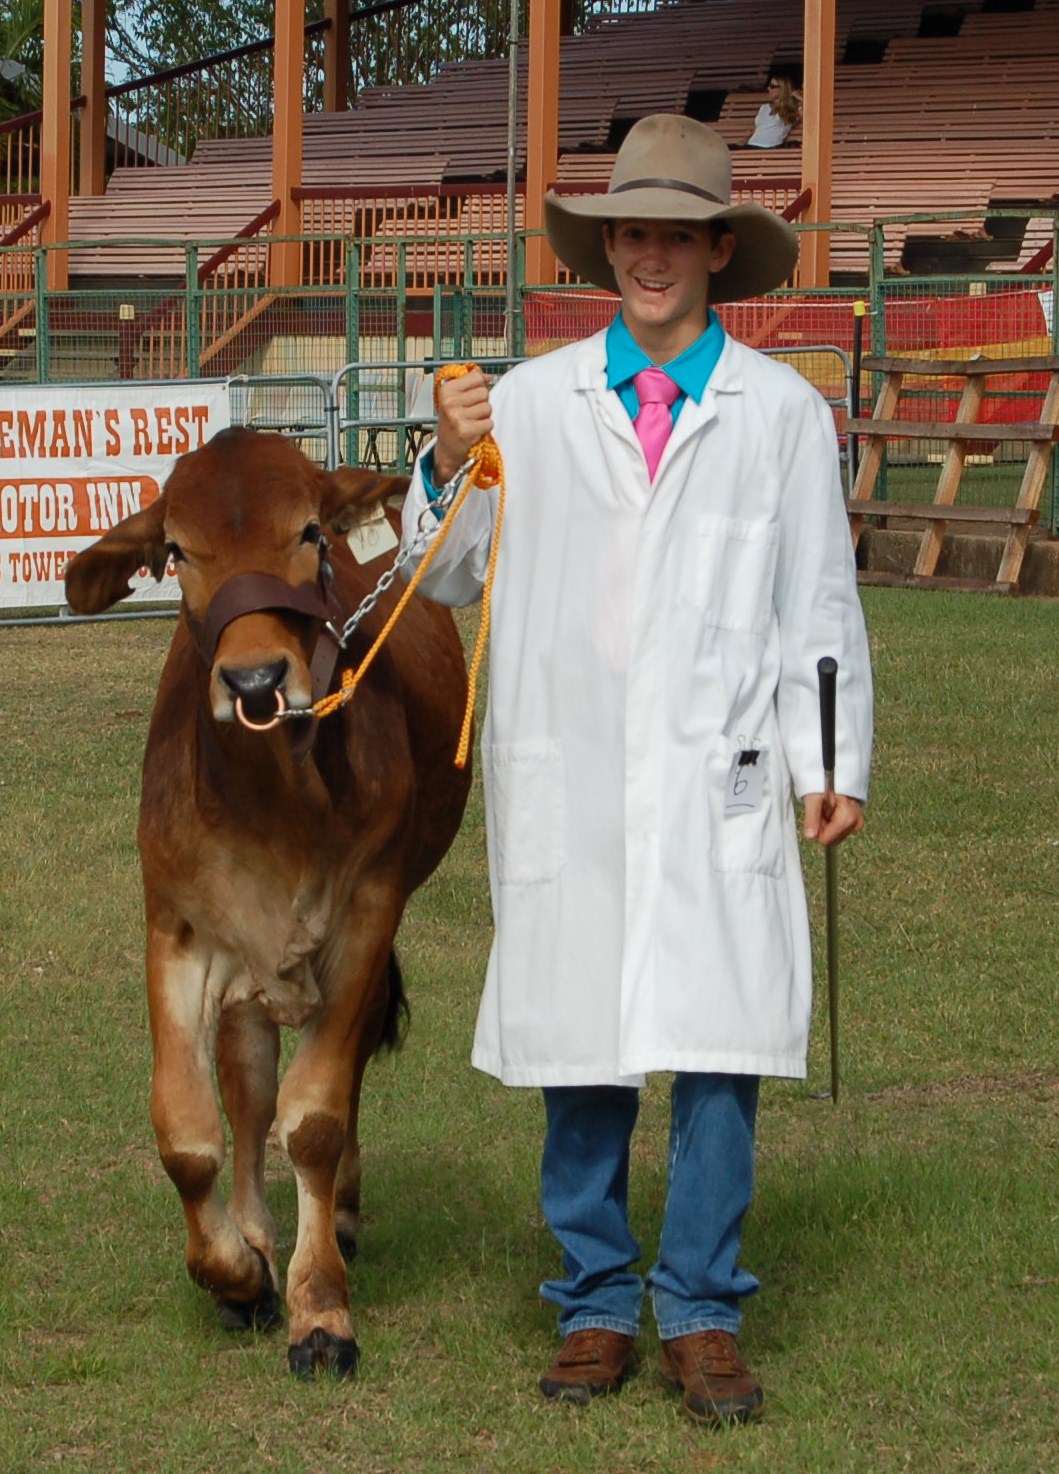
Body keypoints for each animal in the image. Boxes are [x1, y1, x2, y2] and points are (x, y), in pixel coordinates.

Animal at [64, 427, 472, 1378]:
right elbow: (188, 1130)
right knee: (247, 1082)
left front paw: (318, 1307)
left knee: (337, 1075)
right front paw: (237, 1273)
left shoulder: (366, 914)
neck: (271, 801)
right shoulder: (175, 928)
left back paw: (343, 1212)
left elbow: (314, 1115)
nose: (253, 680)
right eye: (177, 550)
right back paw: (252, 1233)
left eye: (311, 533)